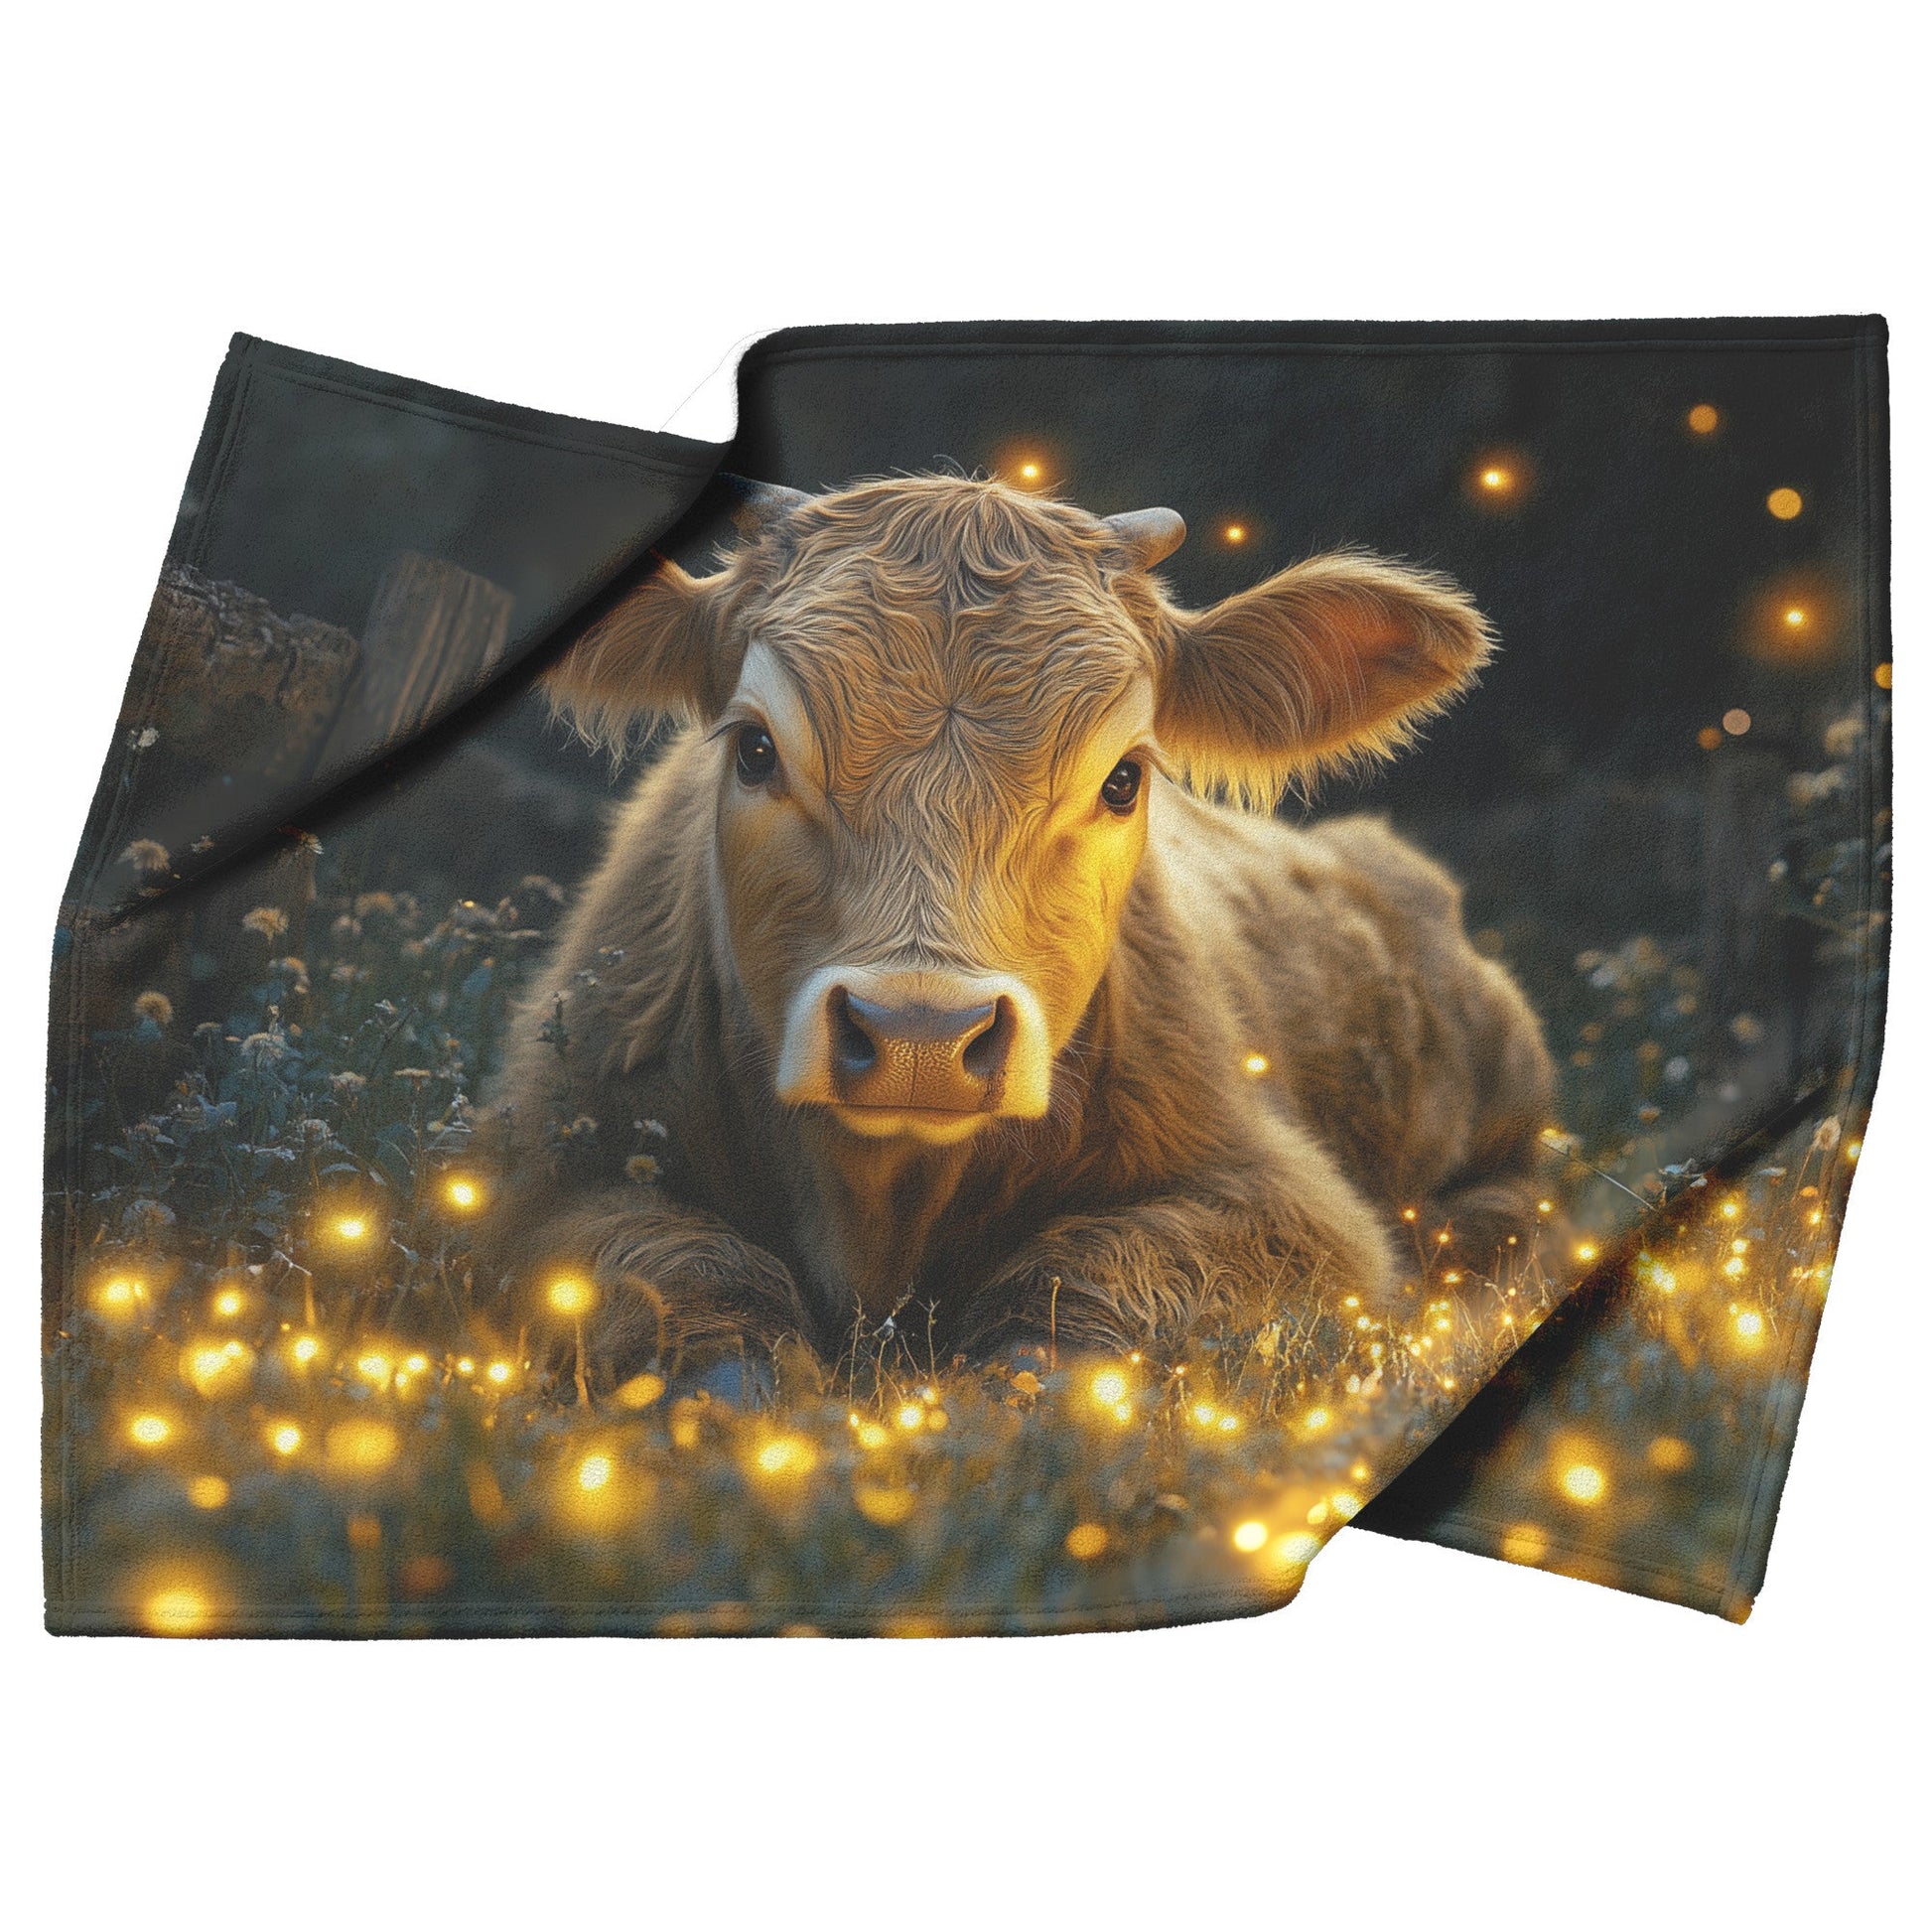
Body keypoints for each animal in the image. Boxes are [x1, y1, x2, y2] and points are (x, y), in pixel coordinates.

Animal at [489, 475, 1553, 1382]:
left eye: (1123, 778)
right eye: (754, 749)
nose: (920, 1036)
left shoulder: (1291, 1205)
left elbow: (1073, 1301)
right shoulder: (533, 1172)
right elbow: (675, 1272)